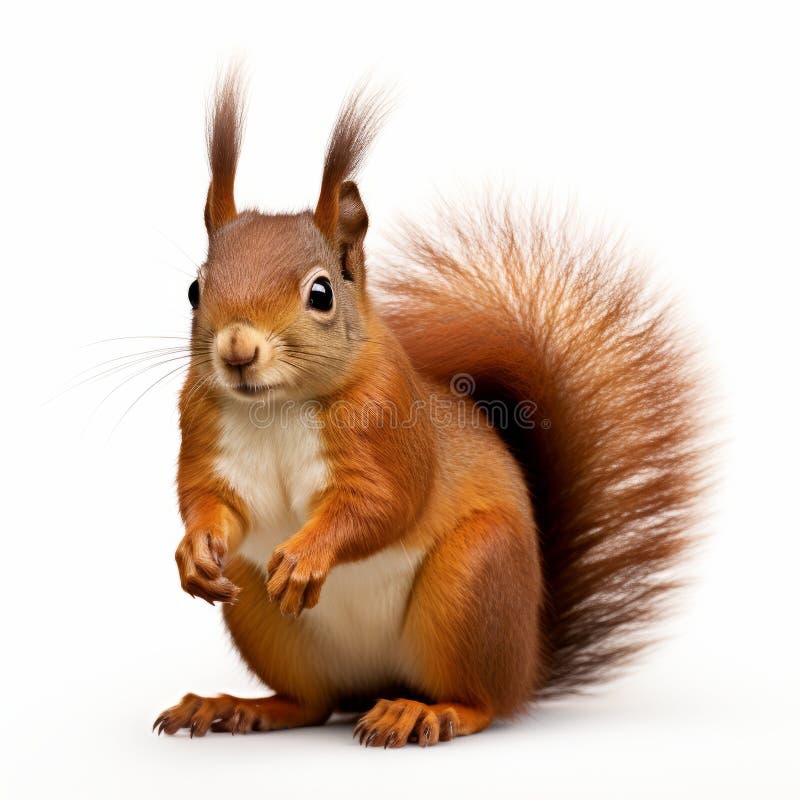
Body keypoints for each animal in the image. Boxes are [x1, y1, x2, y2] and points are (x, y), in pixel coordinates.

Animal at [153, 70, 707, 747]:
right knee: (311, 703)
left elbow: (382, 503)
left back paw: (424, 712)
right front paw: (193, 552)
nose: (237, 349)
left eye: (321, 293)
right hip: (263, 613)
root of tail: (527, 660)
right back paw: (236, 705)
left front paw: (307, 556)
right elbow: (211, 502)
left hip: (471, 583)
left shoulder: (392, 425)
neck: (277, 408)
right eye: (194, 289)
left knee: (479, 702)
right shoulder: (205, 429)